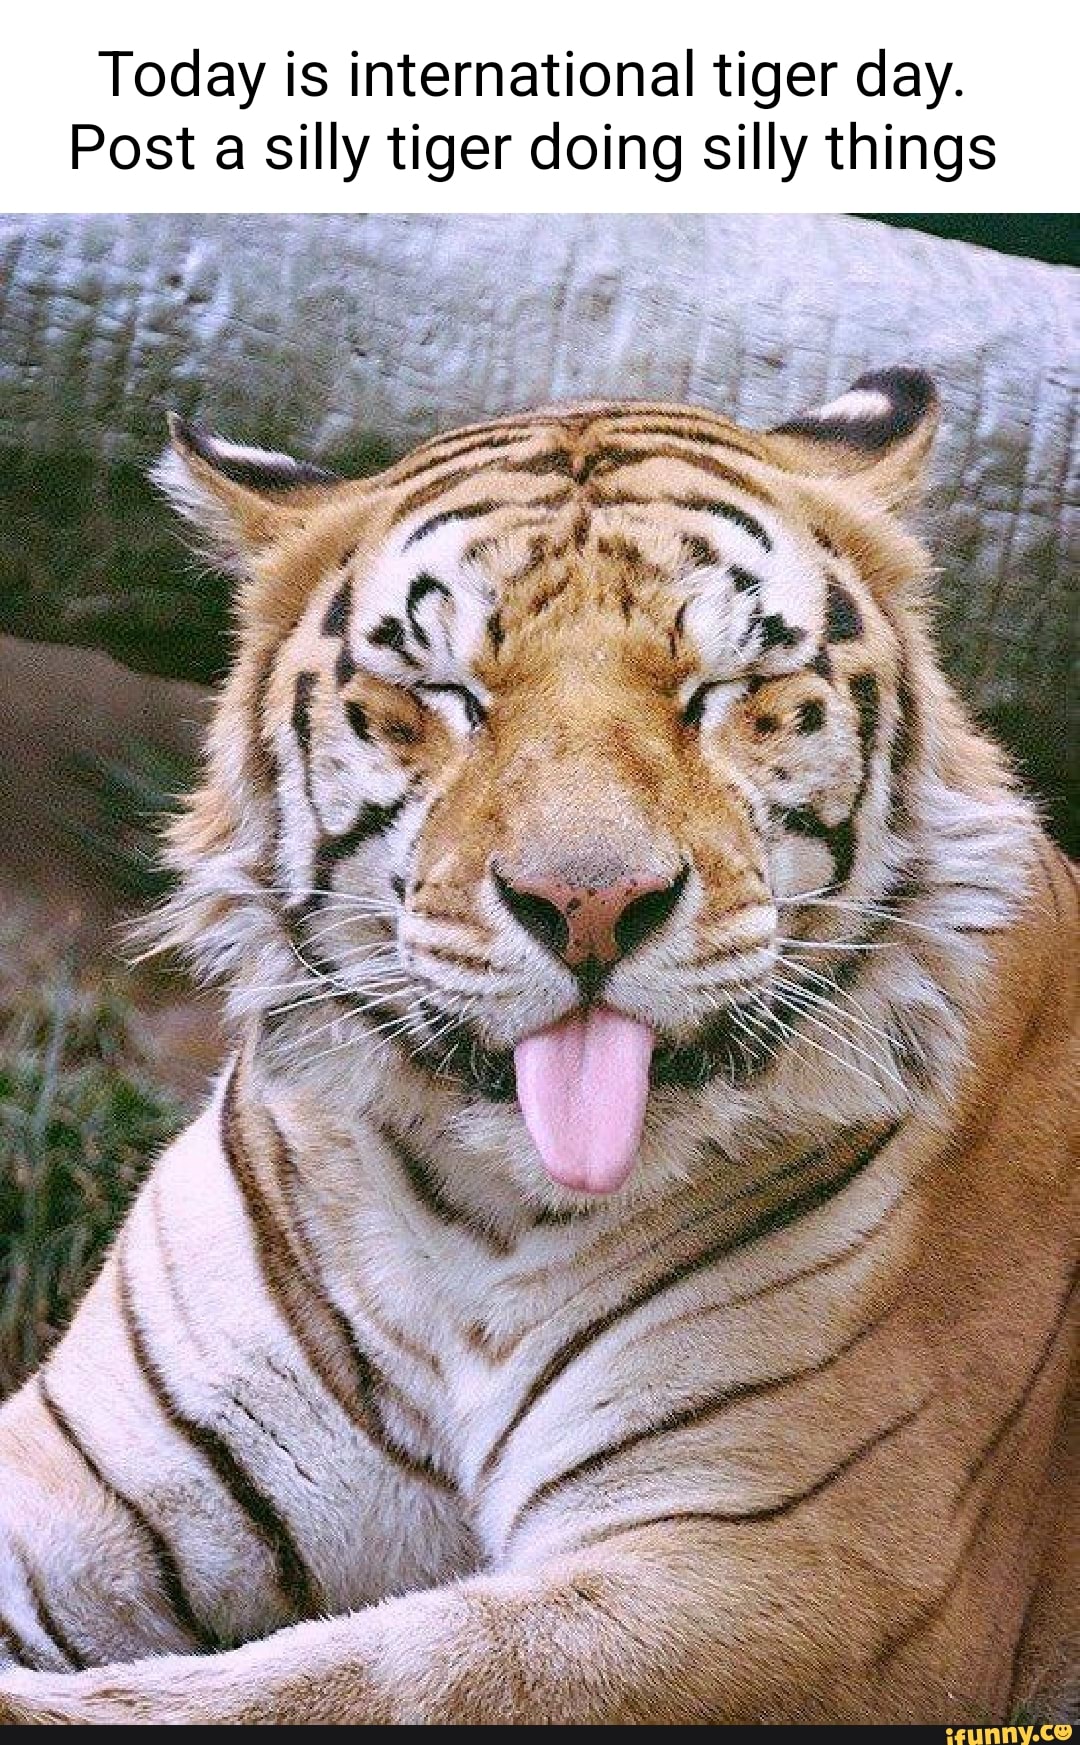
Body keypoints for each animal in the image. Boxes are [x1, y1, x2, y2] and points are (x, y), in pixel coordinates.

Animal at [0, 370, 1075, 1726]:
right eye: (449, 696)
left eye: (719, 689)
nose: (591, 903)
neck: (479, 1210)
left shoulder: (789, 1569)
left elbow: (360, 1677)